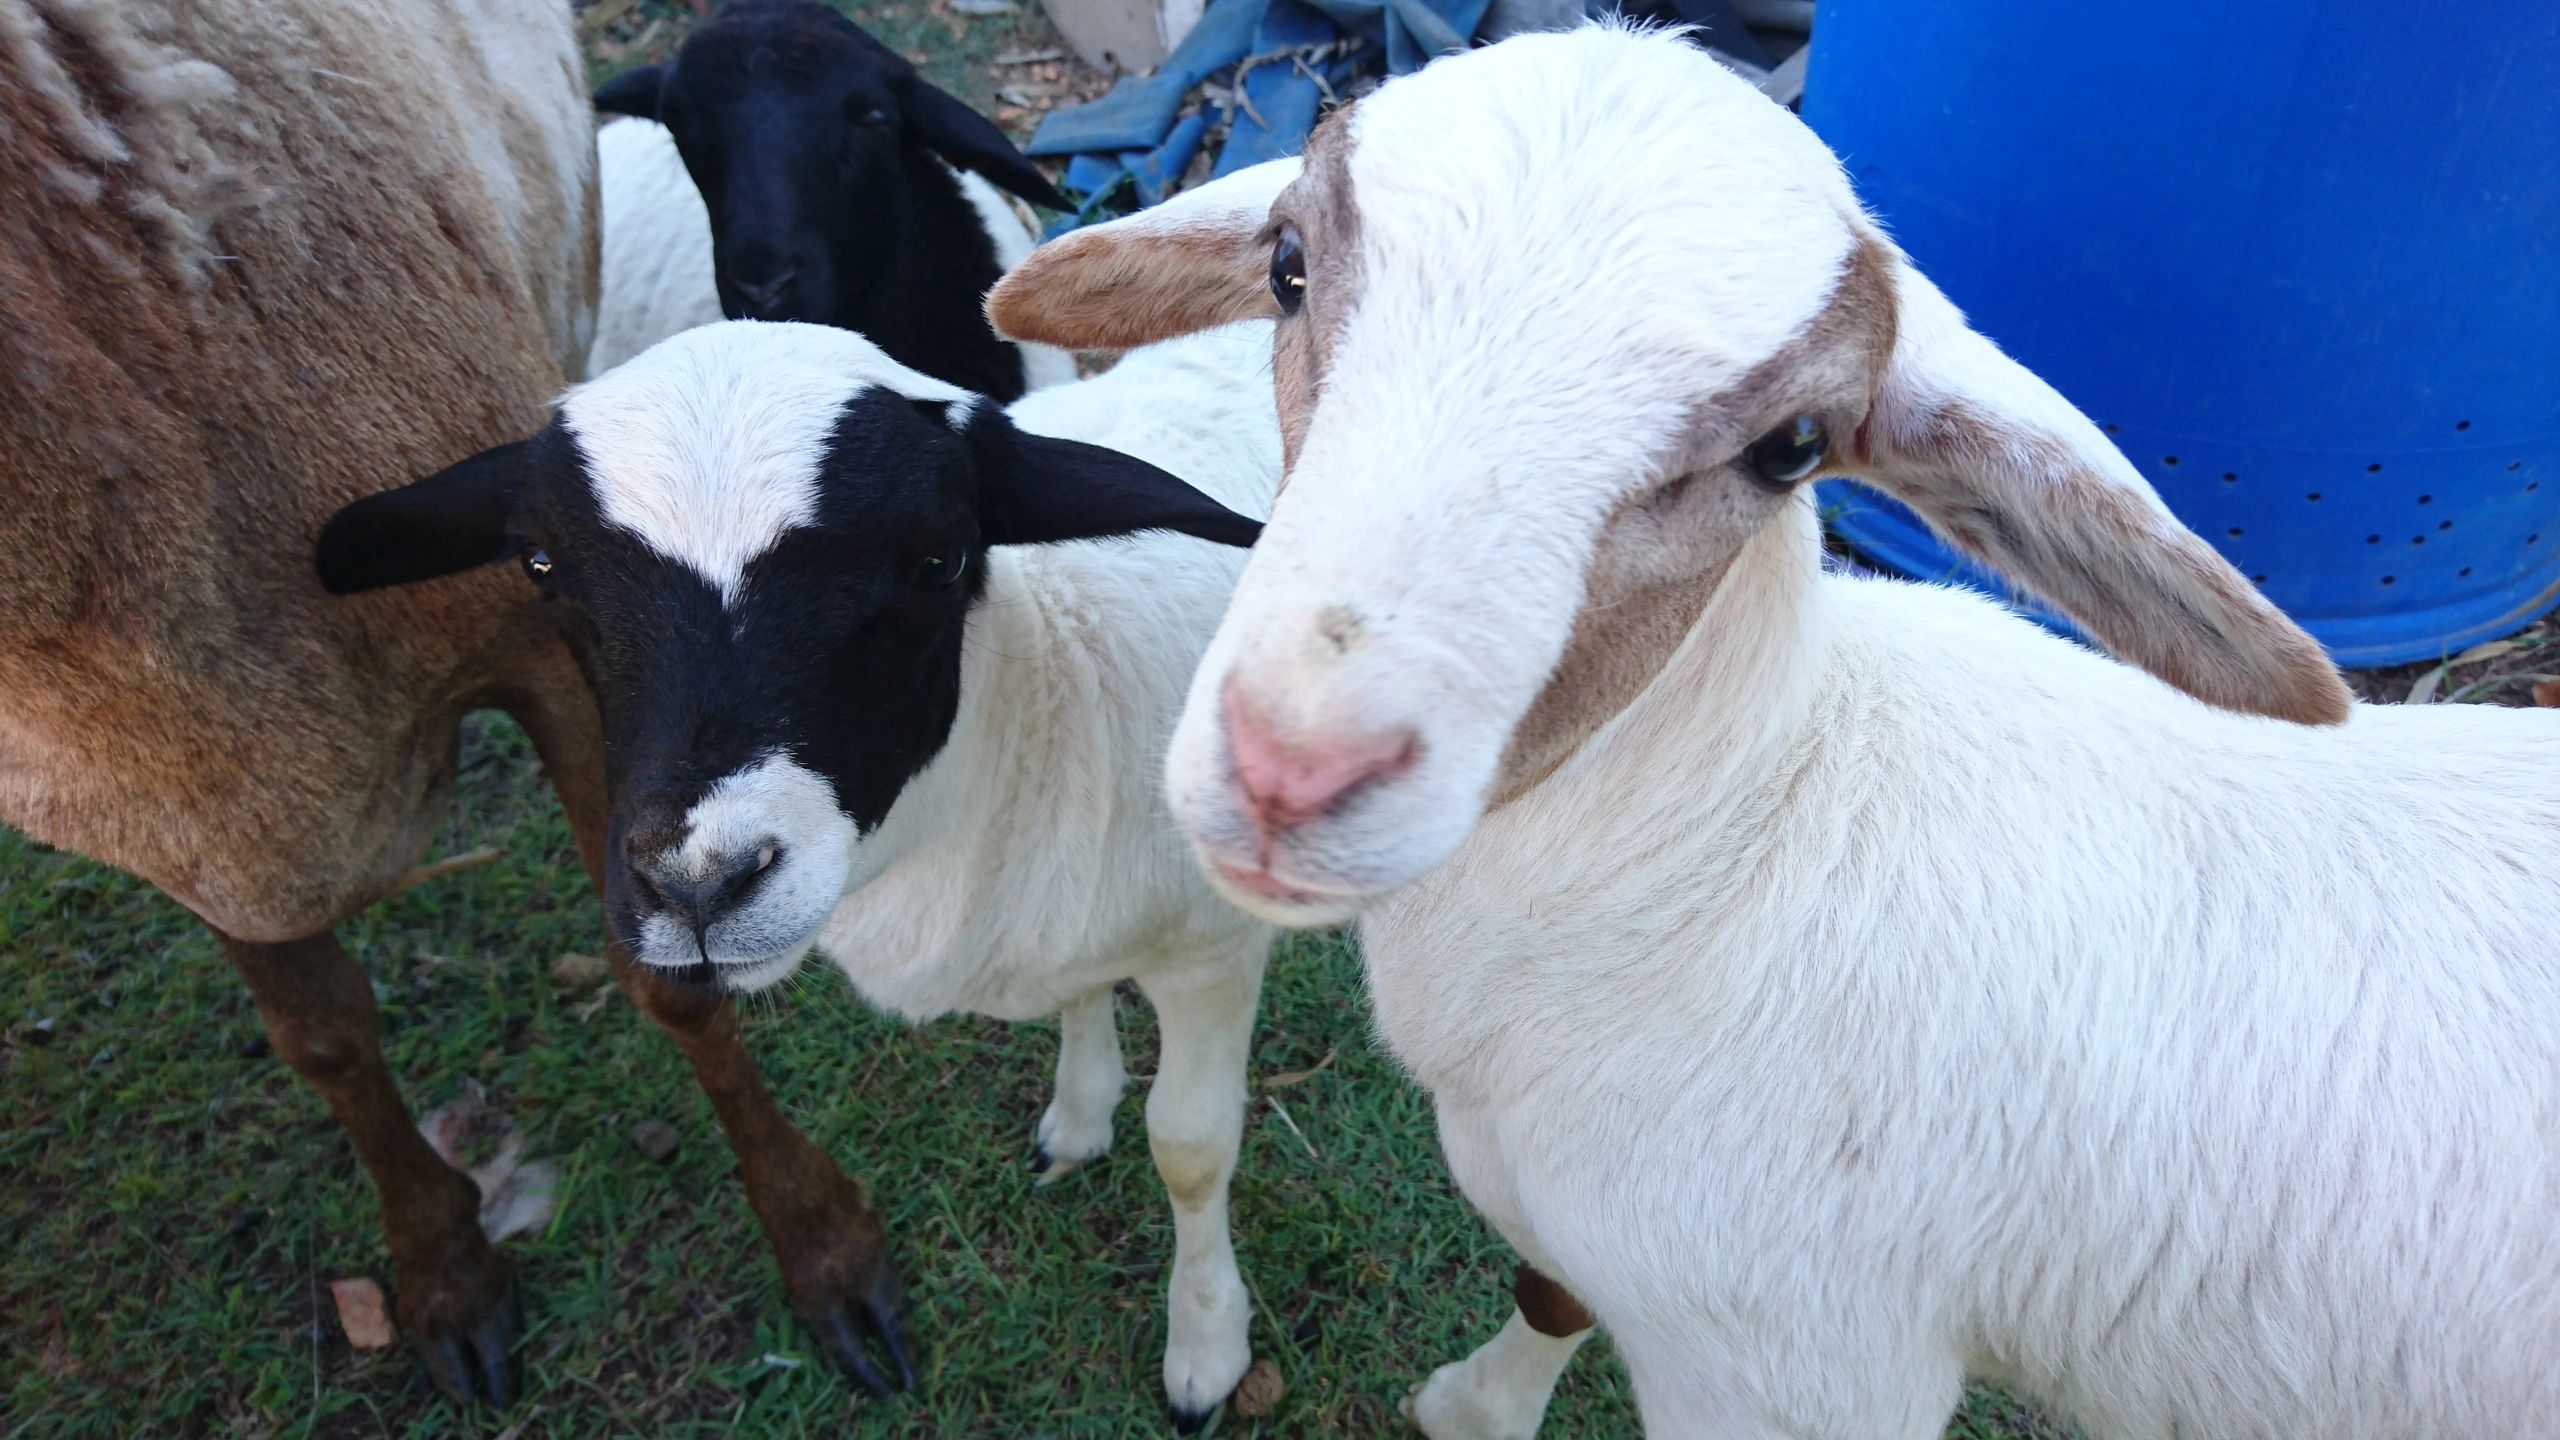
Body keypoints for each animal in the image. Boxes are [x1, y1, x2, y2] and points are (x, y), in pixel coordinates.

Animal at [0, 0, 920, 1410]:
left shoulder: (541, 637)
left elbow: (673, 979)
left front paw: (827, 1252)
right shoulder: (182, 813)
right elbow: (324, 1042)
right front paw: (444, 1276)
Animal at [315, 317, 1286, 1426]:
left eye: (939, 557)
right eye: (540, 562)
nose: (697, 885)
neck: (1049, 681)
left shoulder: (1212, 951)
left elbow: (1191, 1149)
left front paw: (1205, 1349)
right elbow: (1082, 1002)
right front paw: (1079, 1118)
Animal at [987, 24, 2560, 1440]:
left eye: (1794, 448)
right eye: (1288, 267)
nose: (1290, 766)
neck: (1748, 844)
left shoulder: (1804, 1370)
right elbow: (1551, 1291)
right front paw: (1481, 1402)